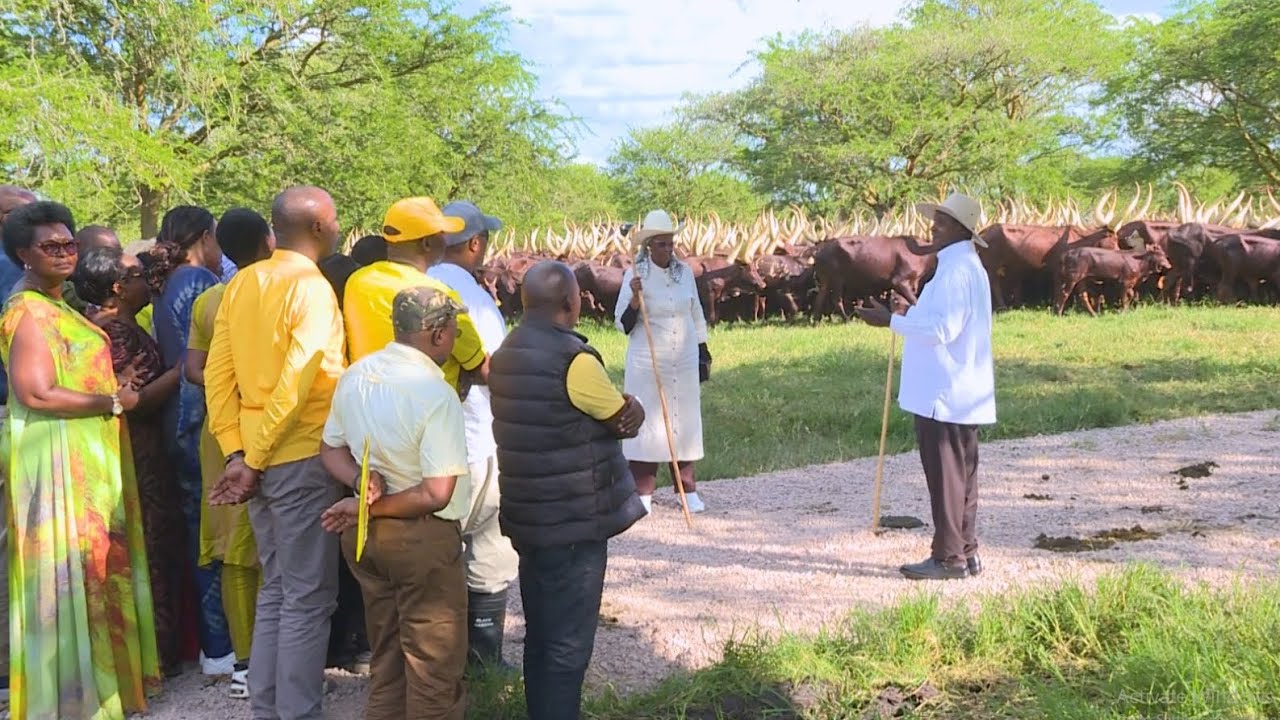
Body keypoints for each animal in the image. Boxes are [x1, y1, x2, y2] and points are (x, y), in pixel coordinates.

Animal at [978, 225, 1121, 310]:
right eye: (1114, 240)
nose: (1121, 252)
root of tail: (984, 231)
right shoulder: (1059, 271)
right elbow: (1060, 291)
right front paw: (1057, 309)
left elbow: (1080, 293)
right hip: (991, 264)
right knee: (993, 284)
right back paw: (1002, 307)